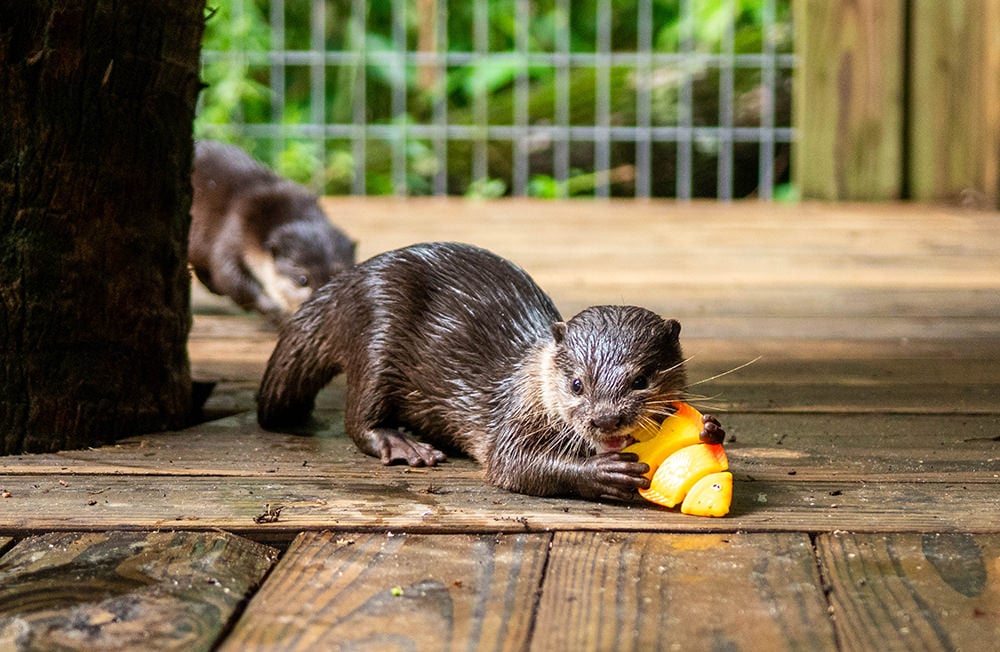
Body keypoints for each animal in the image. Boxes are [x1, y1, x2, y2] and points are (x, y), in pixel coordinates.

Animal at [257, 242, 724, 500]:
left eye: (641, 380)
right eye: (577, 384)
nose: (605, 419)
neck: (533, 385)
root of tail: (349, 281)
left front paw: (710, 429)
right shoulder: (512, 419)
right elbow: (509, 464)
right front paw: (602, 473)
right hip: (377, 331)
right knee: (359, 417)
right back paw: (402, 444)